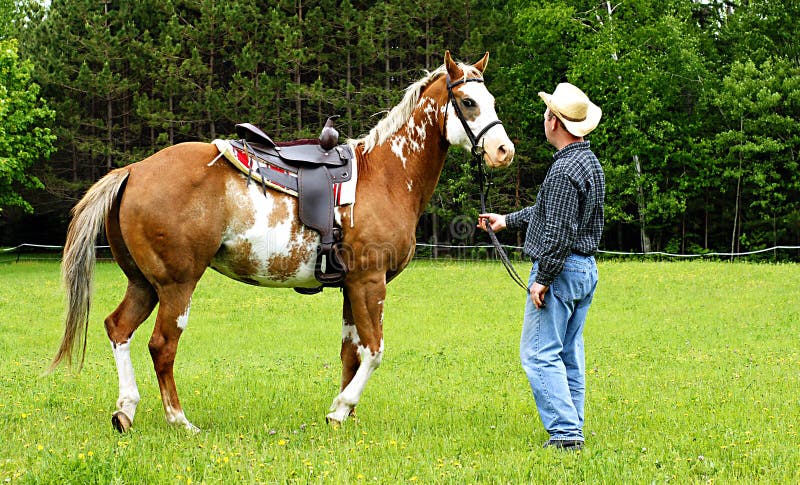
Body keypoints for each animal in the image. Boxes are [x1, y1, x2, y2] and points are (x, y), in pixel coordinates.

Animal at [50, 51, 515, 432]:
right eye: (468, 103)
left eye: (492, 100)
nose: (503, 150)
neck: (386, 174)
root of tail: (134, 170)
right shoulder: (370, 282)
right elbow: (376, 350)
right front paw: (342, 407)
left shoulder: (350, 286)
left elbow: (351, 352)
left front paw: (344, 415)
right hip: (176, 285)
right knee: (161, 347)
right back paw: (180, 421)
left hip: (143, 283)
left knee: (119, 329)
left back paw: (126, 410)